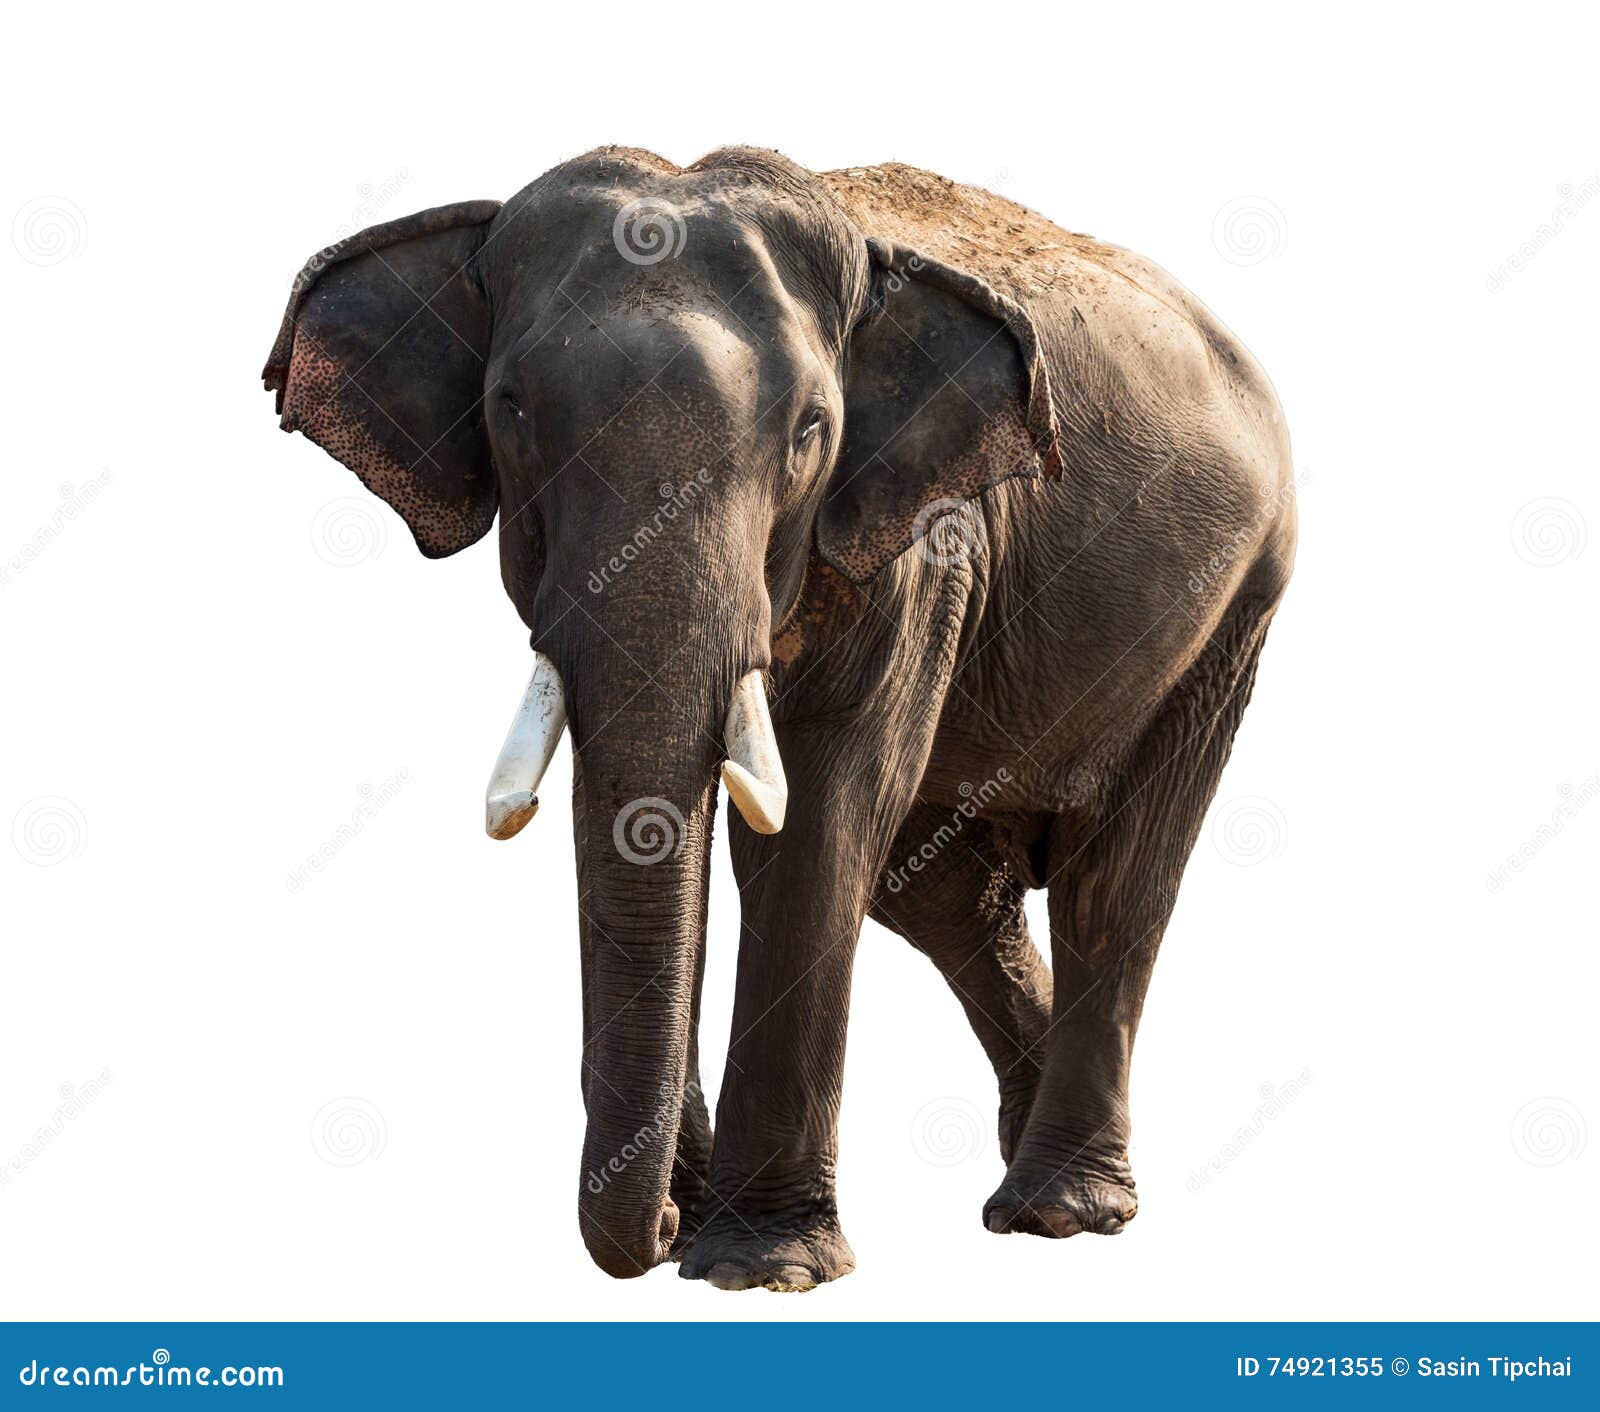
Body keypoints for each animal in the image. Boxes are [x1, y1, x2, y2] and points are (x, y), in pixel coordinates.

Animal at [261, 146, 1295, 1290]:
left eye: (810, 430)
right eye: (512, 410)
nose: (660, 1230)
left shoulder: (925, 541)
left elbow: (819, 824)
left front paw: (757, 1265)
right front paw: (694, 1221)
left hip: (1232, 608)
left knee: (1113, 880)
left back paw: (1060, 1211)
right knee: (944, 890)